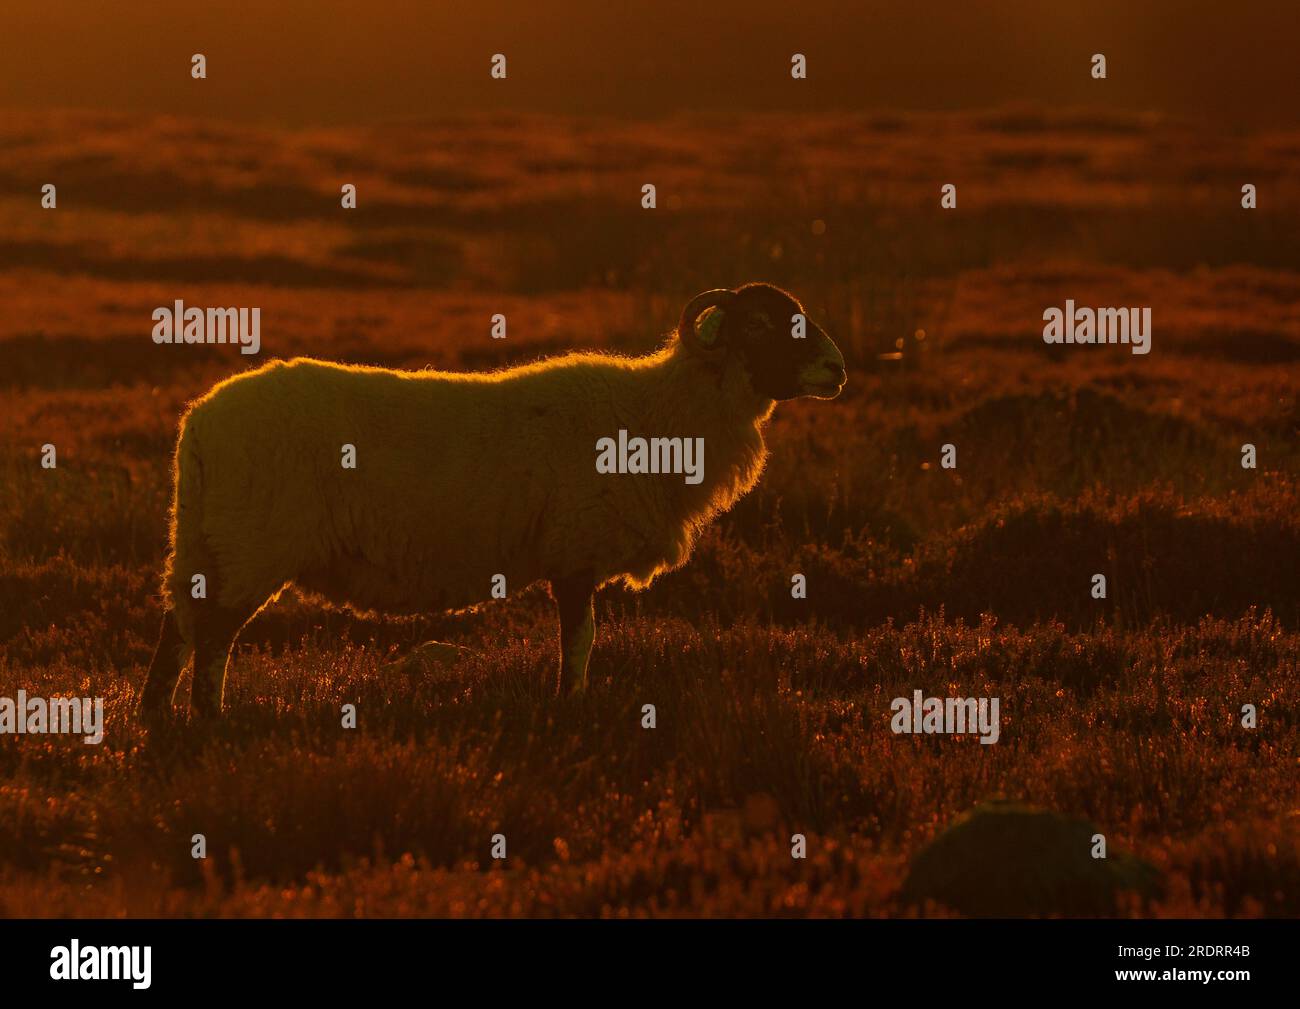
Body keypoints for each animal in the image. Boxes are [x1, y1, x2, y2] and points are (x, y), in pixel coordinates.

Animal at [138, 282, 847, 719]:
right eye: (761, 324)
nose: (838, 370)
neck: (659, 413)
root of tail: (198, 425)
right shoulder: (574, 551)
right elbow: (581, 640)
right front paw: (570, 706)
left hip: (205, 540)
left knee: (179, 627)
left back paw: (158, 717)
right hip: (252, 543)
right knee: (213, 636)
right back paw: (211, 719)